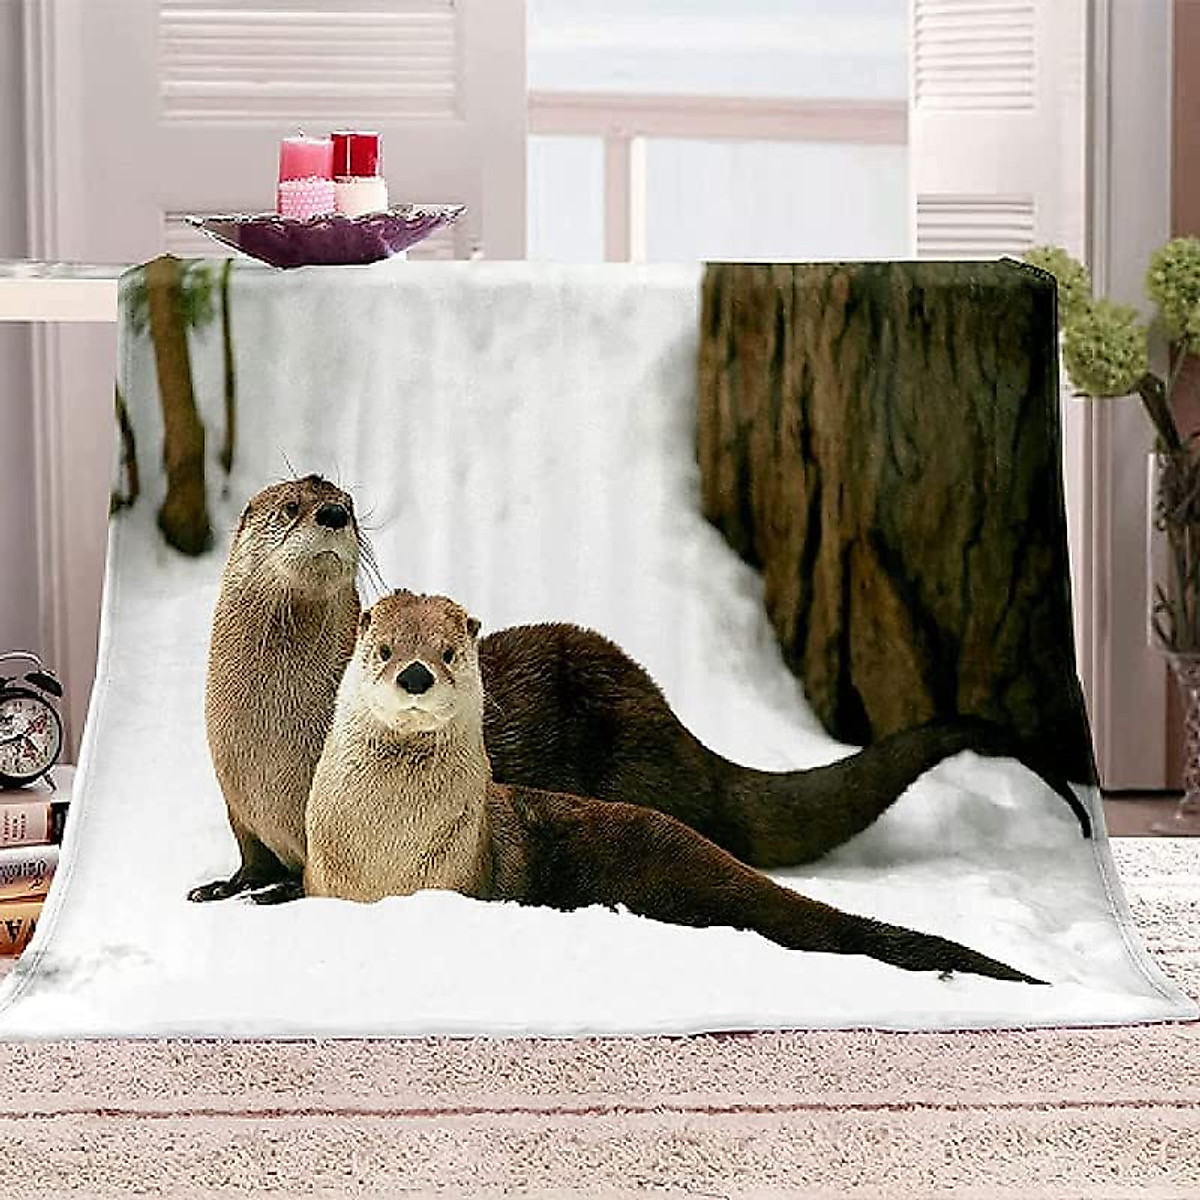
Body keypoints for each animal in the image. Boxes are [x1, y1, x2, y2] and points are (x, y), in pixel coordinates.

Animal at [193, 475, 1088, 904]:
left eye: (344, 500)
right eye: (291, 506)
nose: (335, 514)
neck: (273, 733)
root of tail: (676, 731)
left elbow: (304, 877)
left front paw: (273, 898)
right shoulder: (236, 798)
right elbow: (246, 857)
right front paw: (222, 886)